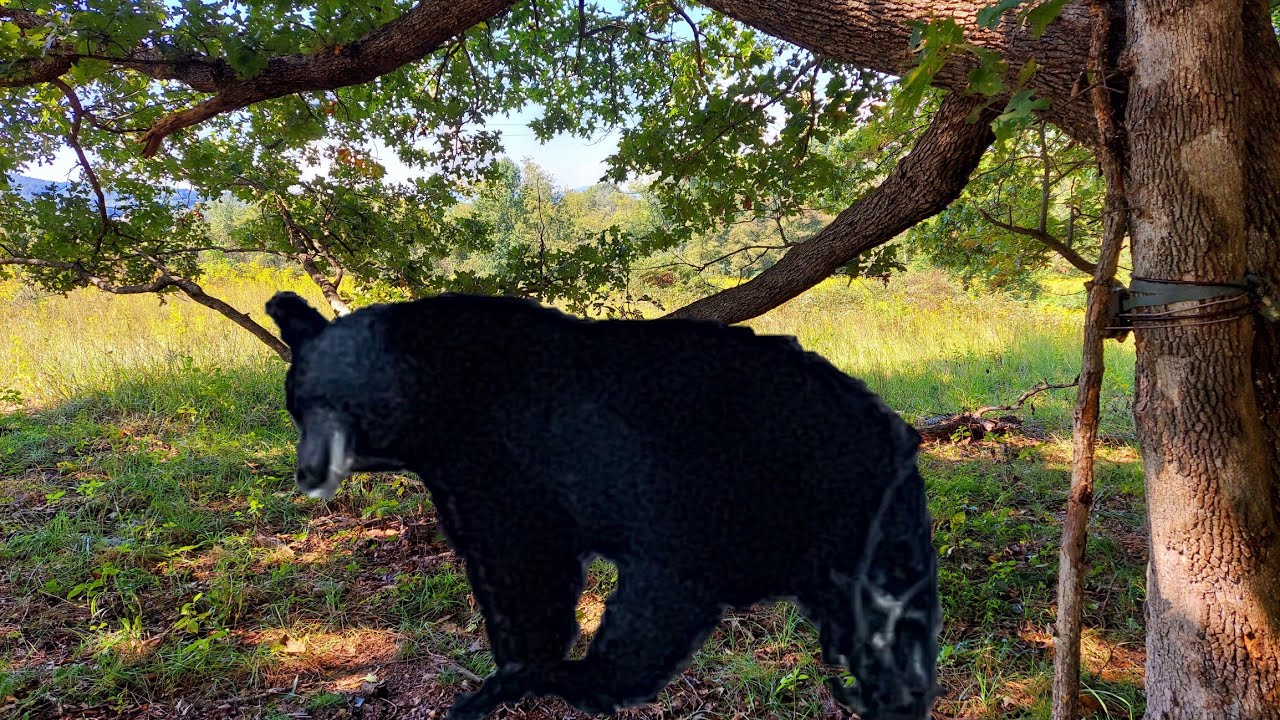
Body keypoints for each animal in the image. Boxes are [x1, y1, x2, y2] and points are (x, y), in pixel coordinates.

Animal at [265, 291, 940, 720]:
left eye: (336, 406)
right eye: (298, 403)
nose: (307, 473)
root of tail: (891, 430)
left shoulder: (511, 472)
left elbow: (527, 572)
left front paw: (517, 667)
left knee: (656, 608)